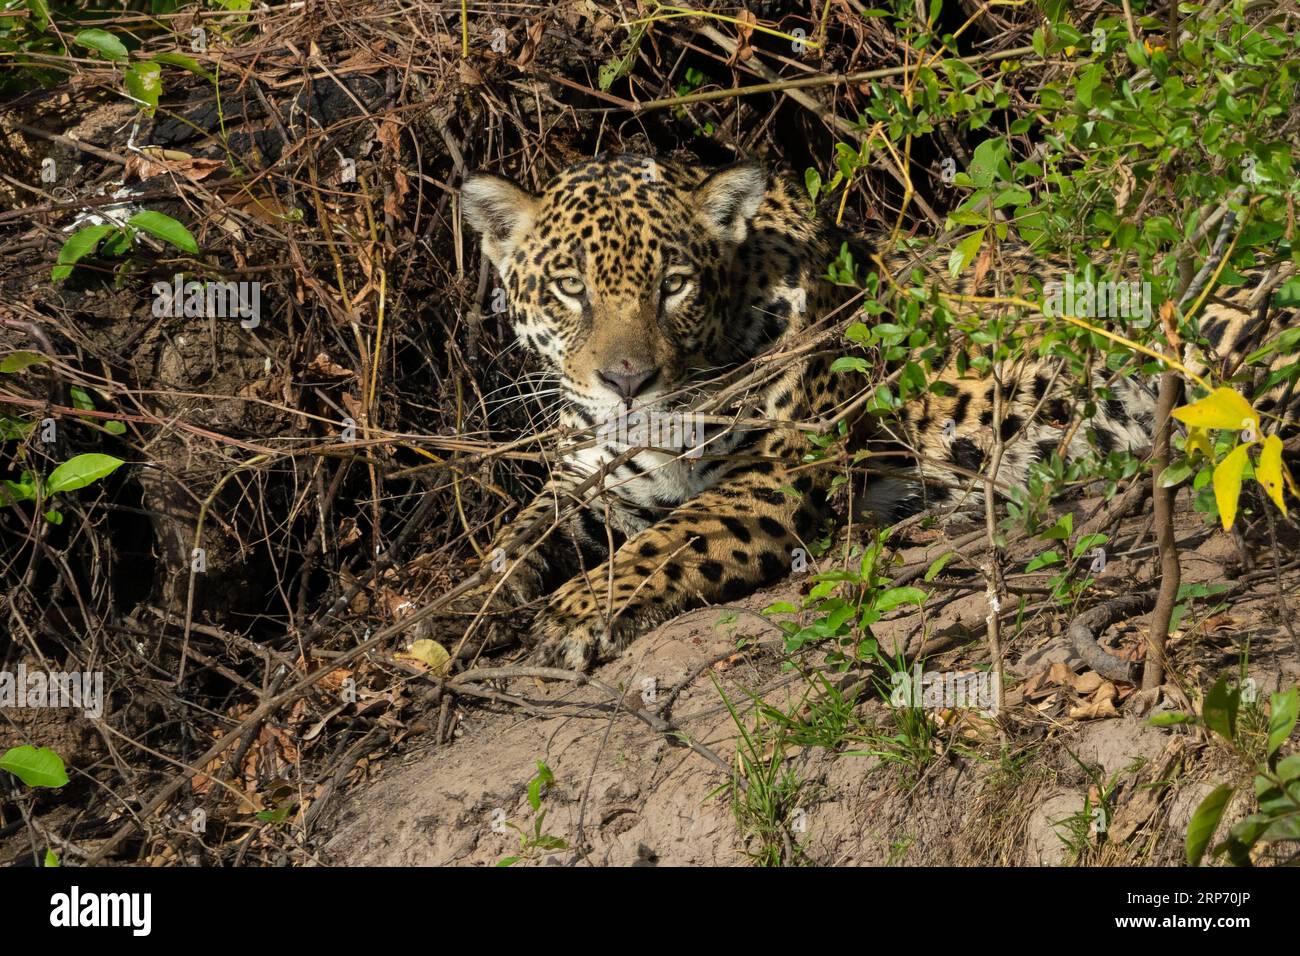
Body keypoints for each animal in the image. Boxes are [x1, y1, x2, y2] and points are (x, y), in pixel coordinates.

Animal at [446, 151, 1294, 672]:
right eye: (571, 288)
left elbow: (668, 540)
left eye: (674, 285)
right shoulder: (592, 481)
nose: (629, 380)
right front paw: (458, 616)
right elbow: (513, 541)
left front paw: (573, 611)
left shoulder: (773, 480)